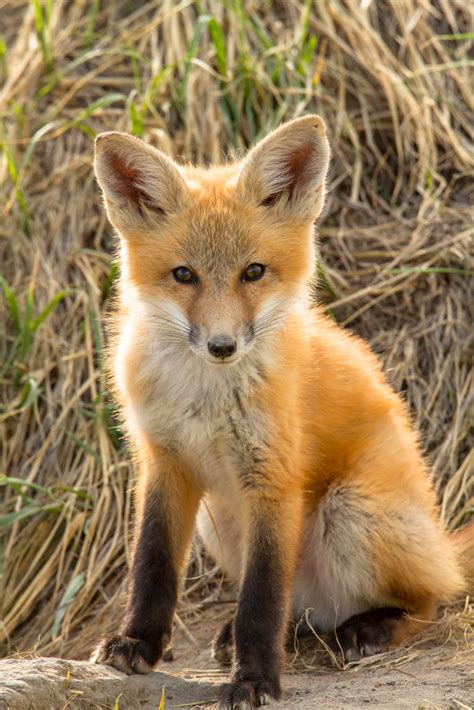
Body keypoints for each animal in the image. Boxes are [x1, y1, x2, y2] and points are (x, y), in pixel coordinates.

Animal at [90, 115, 471, 709]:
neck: (207, 398)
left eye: (253, 271)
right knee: (297, 605)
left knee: (432, 598)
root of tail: (442, 544)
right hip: (219, 522)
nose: (222, 346)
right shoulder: (163, 463)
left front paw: (254, 680)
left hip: (349, 512)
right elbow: (152, 567)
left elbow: (262, 597)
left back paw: (372, 627)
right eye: (183, 275)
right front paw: (138, 643)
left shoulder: (274, 478)